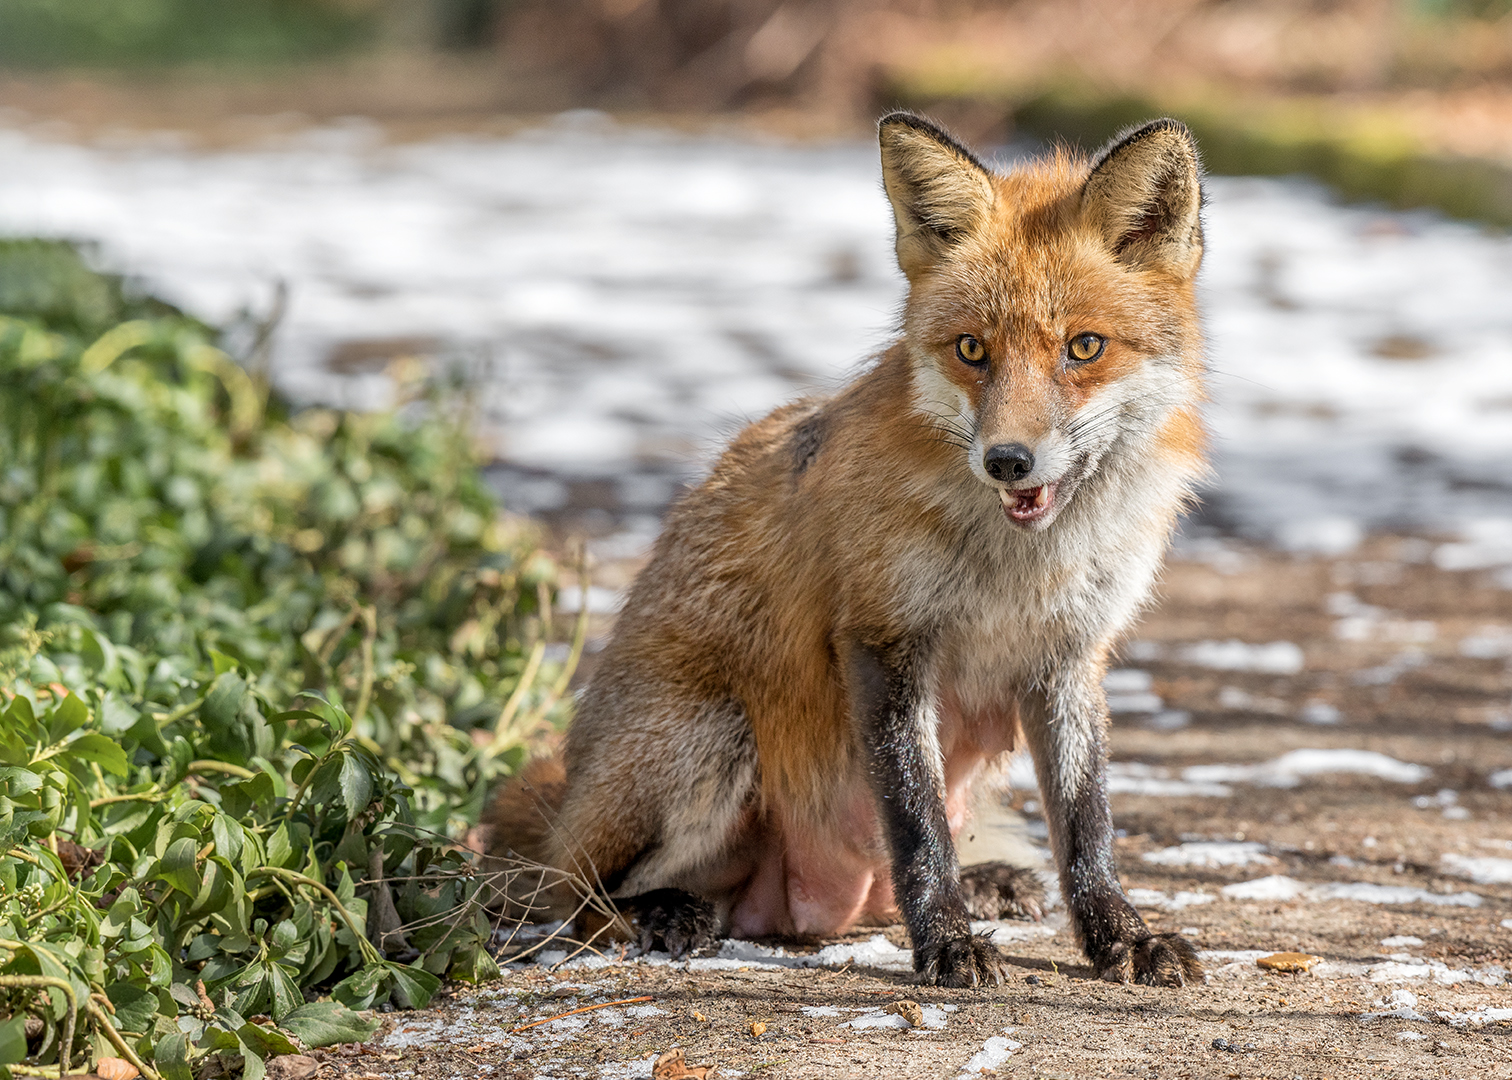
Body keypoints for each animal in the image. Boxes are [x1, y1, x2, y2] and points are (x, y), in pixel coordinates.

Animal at [483, 111, 1203, 986]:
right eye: (971, 350)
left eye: (1085, 348)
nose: (1007, 460)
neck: (1020, 568)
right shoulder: (883, 640)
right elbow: (917, 828)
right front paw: (948, 944)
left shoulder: (1068, 657)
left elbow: (1085, 825)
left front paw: (1120, 936)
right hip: (710, 739)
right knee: (576, 893)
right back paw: (662, 911)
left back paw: (991, 880)